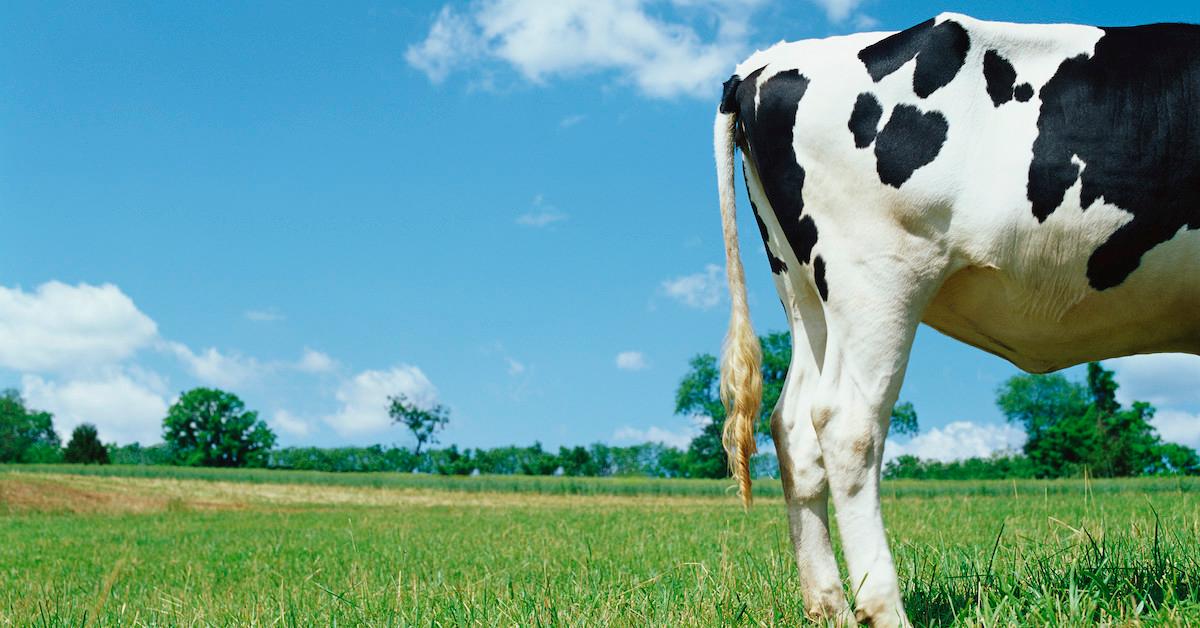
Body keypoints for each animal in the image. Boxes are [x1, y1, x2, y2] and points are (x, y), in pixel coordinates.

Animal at [713, 12, 1200, 627]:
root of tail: (762, 64)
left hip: (804, 291)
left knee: (793, 425)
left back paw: (830, 607)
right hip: (876, 278)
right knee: (846, 424)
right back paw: (885, 609)